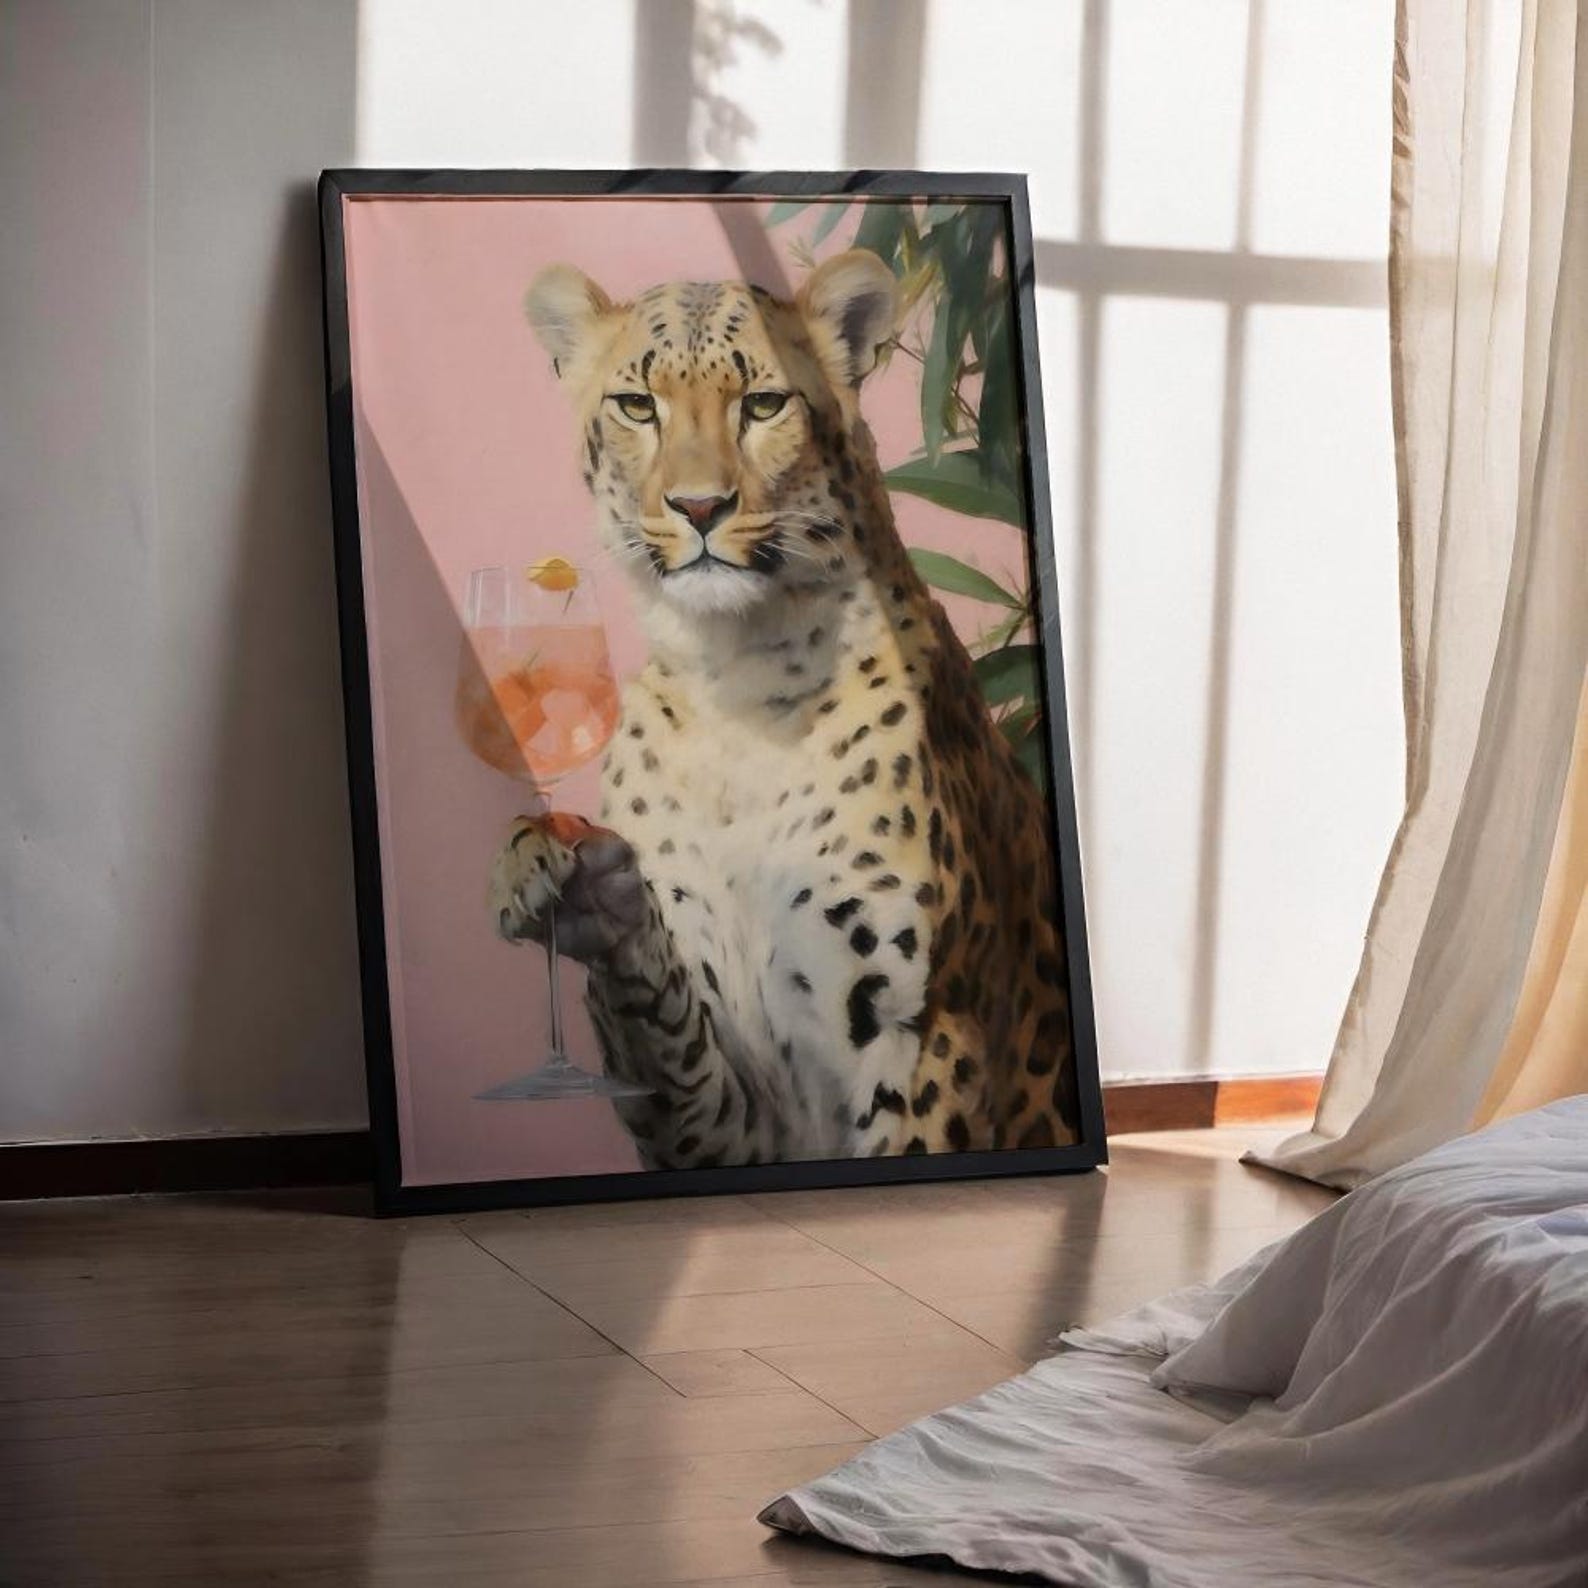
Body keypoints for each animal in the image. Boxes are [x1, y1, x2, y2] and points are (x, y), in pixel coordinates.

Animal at [488, 246, 1079, 1170]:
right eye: (636, 406)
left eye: (764, 405)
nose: (699, 507)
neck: (734, 686)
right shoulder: (732, 1122)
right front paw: (582, 887)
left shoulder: (922, 1033)